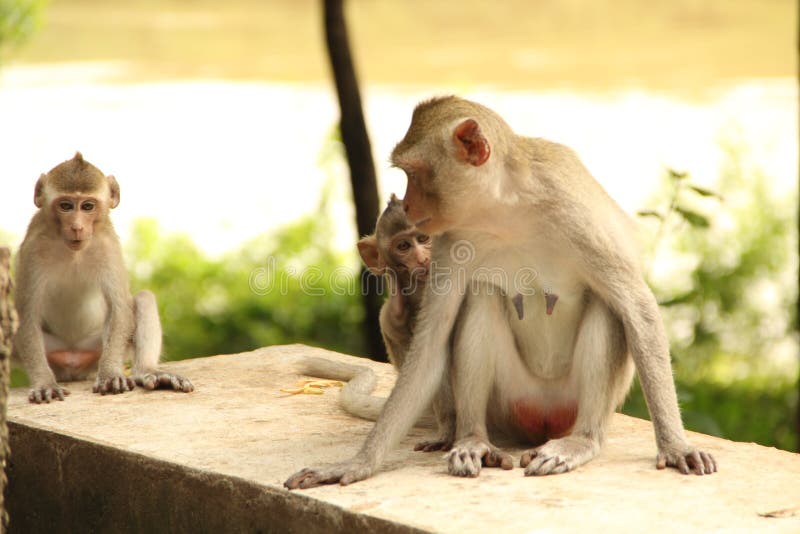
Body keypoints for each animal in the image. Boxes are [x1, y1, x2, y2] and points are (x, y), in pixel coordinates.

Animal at [13, 152, 194, 404]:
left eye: (87, 206)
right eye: (66, 206)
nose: (77, 227)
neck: (74, 252)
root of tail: (73, 363)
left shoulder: (108, 247)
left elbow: (119, 308)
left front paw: (110, 374)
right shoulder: (33, 250)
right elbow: (26, 315)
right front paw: (44, 383)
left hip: (94, 348)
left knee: (143, 298)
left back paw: (147, 371)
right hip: (52, 350)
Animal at [285, 96, 716, 489]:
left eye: (416, 173)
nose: (407, 204)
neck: (505, 212)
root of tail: (542, 424)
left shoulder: (575, 213)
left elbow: (637, 307)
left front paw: (675, 446)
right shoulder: (451, 239)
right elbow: (431, 342)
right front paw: (356, 464)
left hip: (574, 403)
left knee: (606, 304)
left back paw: (579, 442)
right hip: (509, 402)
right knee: (482, 296)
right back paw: (473, 440)